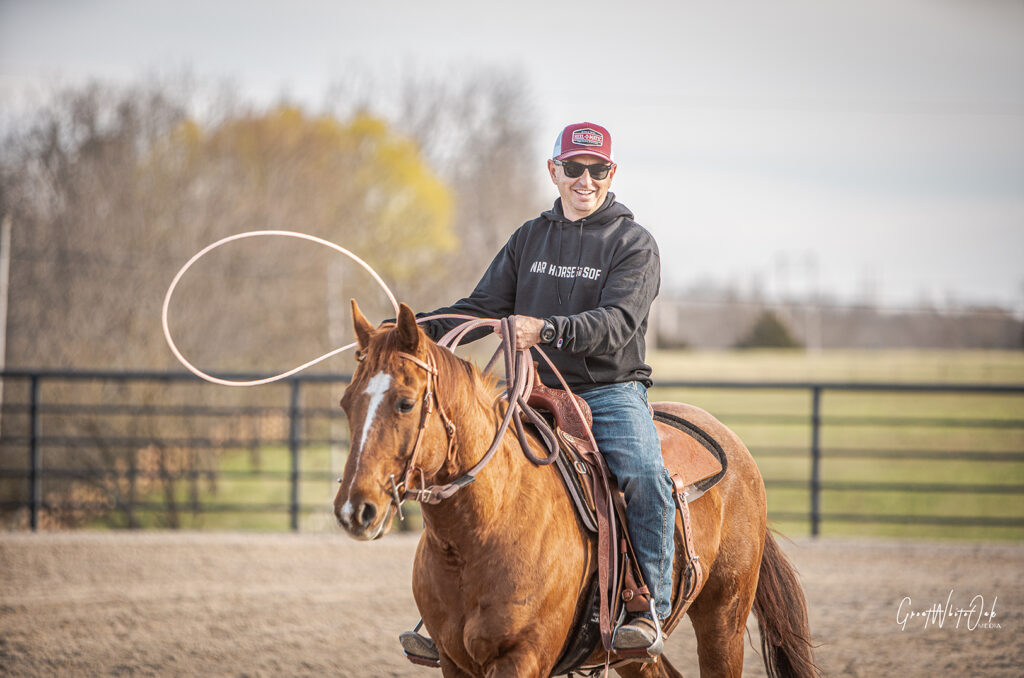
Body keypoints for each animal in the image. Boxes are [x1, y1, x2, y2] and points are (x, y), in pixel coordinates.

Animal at [334, 302, 818, 678]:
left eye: (405, 403)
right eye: (346, 402)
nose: (354, 509)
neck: (483, 529)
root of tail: (735, 447)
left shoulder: (523, 657)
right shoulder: (455, 661)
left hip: (724, 618)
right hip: (636, 656)